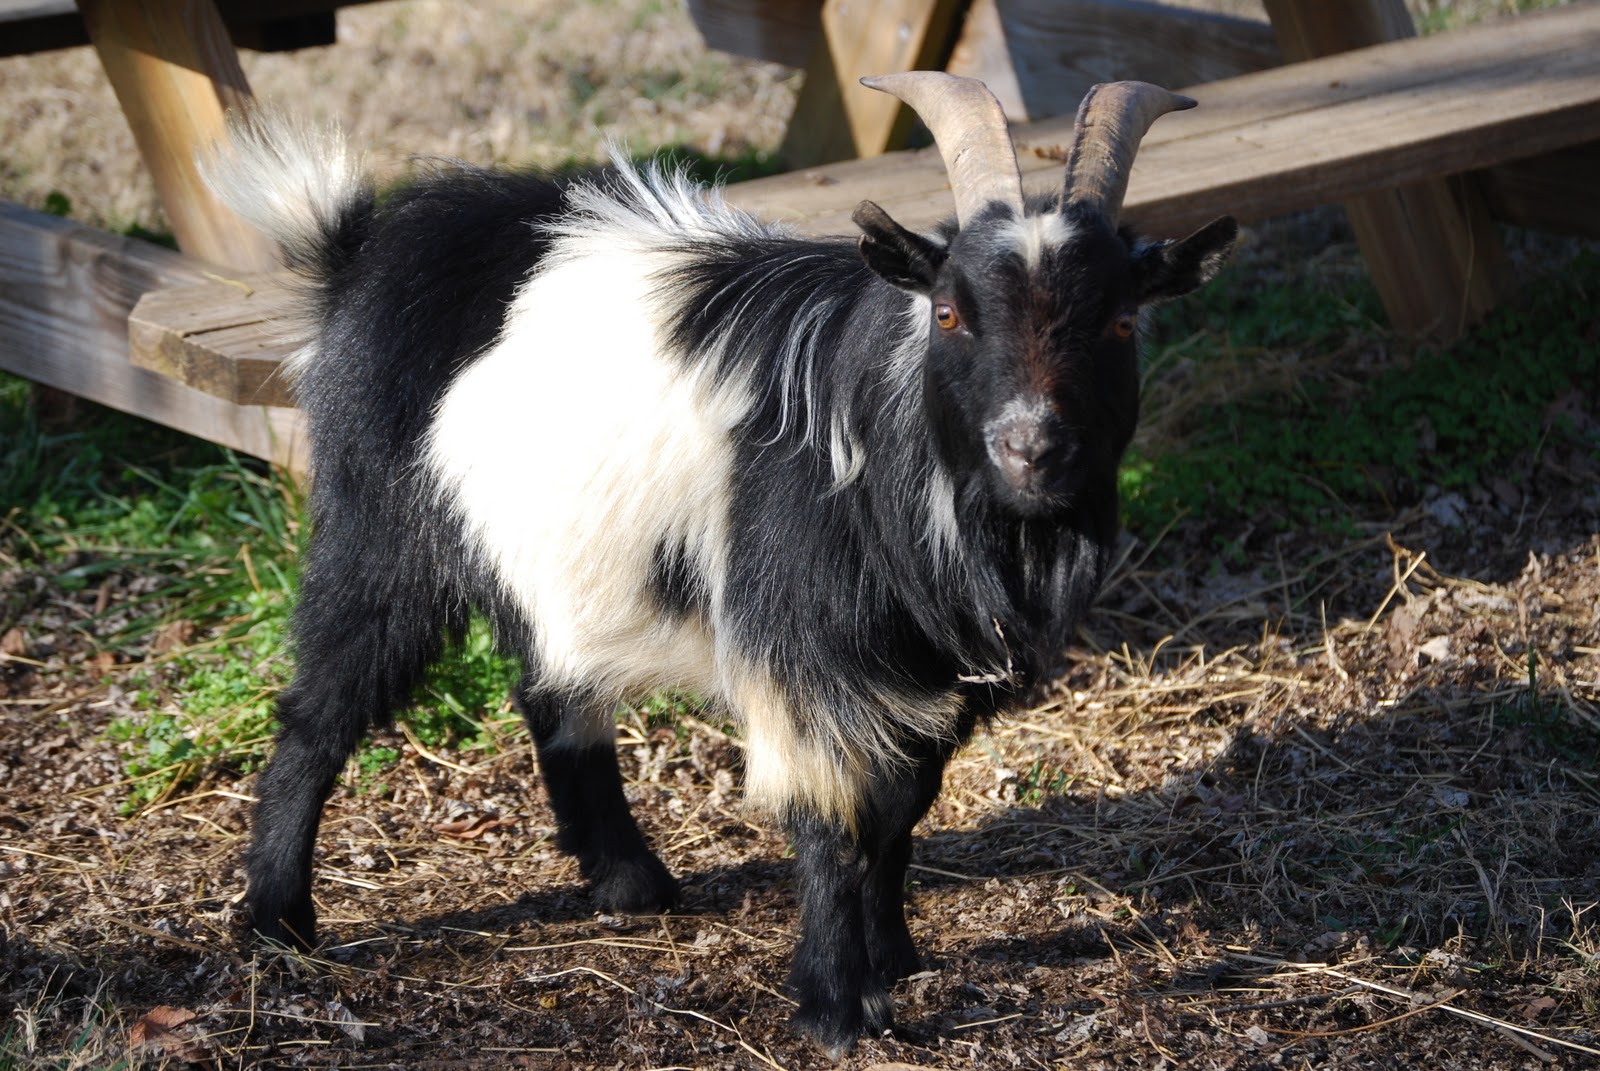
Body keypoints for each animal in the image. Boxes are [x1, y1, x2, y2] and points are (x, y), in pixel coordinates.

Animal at [203, 73, 1237, 1056]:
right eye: (949, 311)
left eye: (1121, 323)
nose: (1033, 447)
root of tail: (360, 252)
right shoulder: (807, 656)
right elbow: (831, 823)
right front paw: (837, 1006)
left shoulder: (925, 668)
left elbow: (901, 811)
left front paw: (894, 957)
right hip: (381, 533)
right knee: (320, 709)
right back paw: (278, 920)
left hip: (555, 559)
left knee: (551, 689)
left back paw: (630, 882)